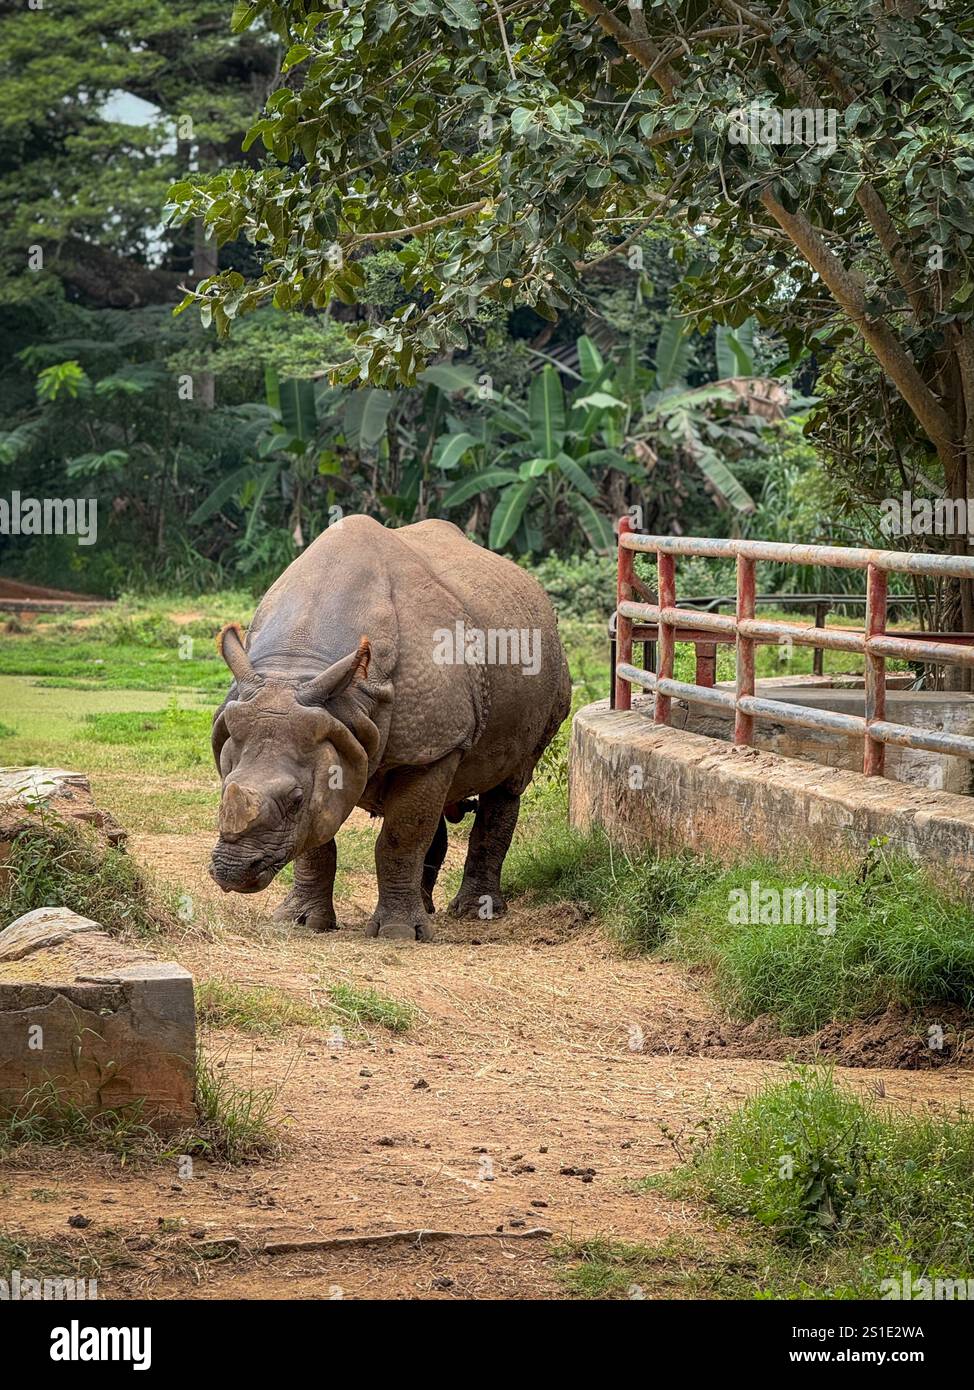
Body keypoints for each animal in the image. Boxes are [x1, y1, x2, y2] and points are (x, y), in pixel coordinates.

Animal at [209, 515, 571, 941]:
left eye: (295, 799)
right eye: (224, 784)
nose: (233, 872)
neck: (297, 670)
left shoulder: (433, 744)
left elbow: (401, 837)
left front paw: (398, 933)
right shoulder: (329, 731)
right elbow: (318, 837)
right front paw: (301, 922)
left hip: (547, 672)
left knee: (508, 783)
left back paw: (475, 912)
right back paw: (428, 908)